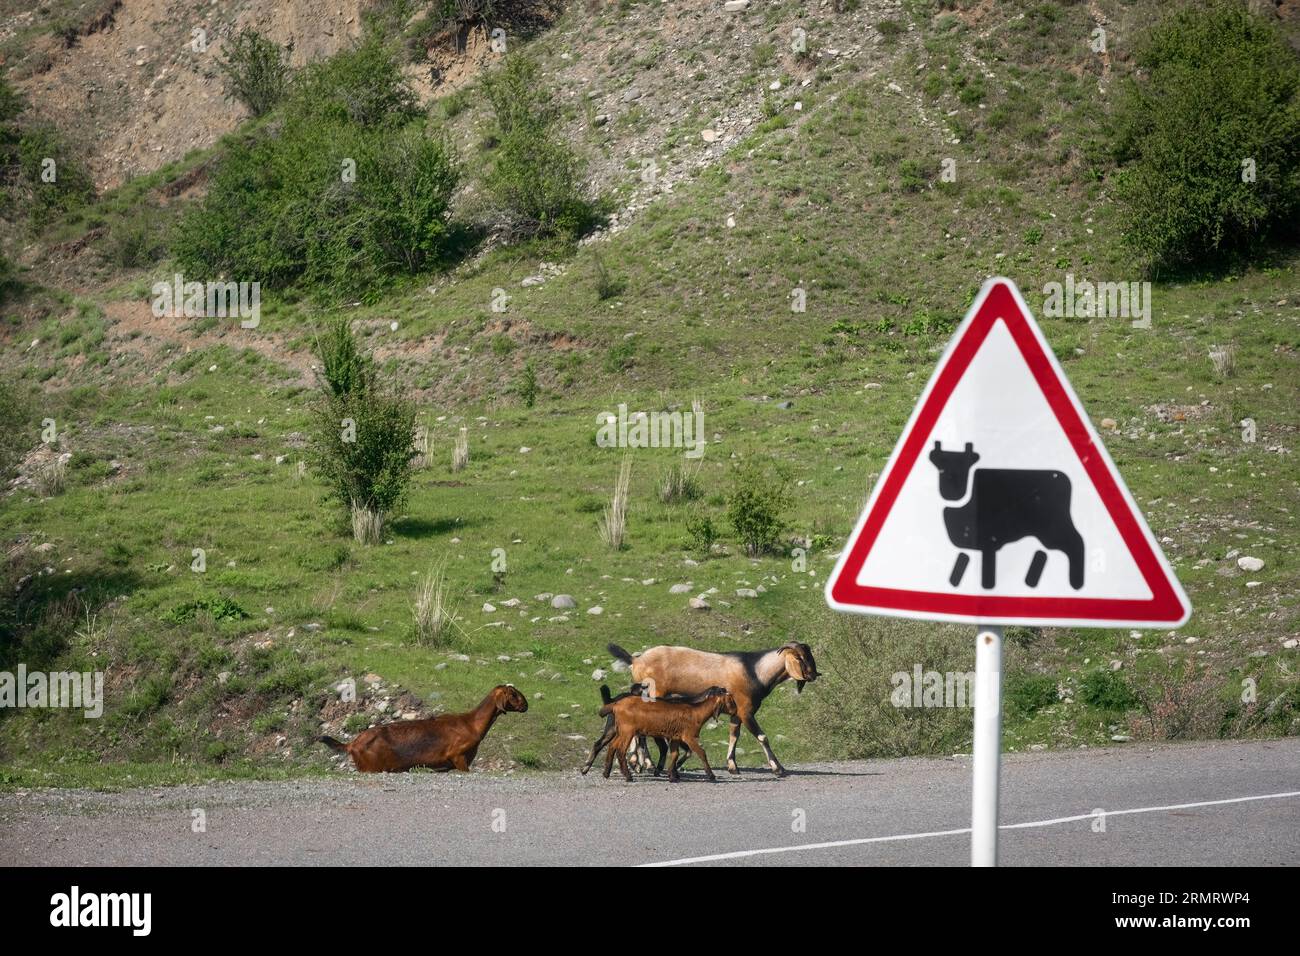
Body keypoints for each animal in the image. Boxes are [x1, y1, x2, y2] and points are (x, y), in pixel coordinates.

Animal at [319, 684, 528, 772]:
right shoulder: (458, 756)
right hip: (371, 767)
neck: (471, 724)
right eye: (513, 694)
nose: (526, 705)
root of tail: (351, 744)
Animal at [599, 686, 737, 782]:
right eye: (730, 701)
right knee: (620, 750)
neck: (696, 712)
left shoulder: (675, 736)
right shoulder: (689, 736)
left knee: (612, 745)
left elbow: (675, 754)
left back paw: (606, 773)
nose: (736, 712)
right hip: (627, 731)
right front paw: (711, 775)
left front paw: (672, 776)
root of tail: (616, 704)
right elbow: (701, 752)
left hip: (621, 730)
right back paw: (628, 776)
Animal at [608, 641, 818, 777]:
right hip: (652, 695)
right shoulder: (746, 710)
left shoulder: (736, 713)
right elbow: (762, 737)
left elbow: (734, 736)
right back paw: (645, 764)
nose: (814, 674)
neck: (754, 671)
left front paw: (733, 766)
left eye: (810, 656)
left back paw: (637, 763)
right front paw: (778, 768)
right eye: (800, 657)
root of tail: (636, 660)